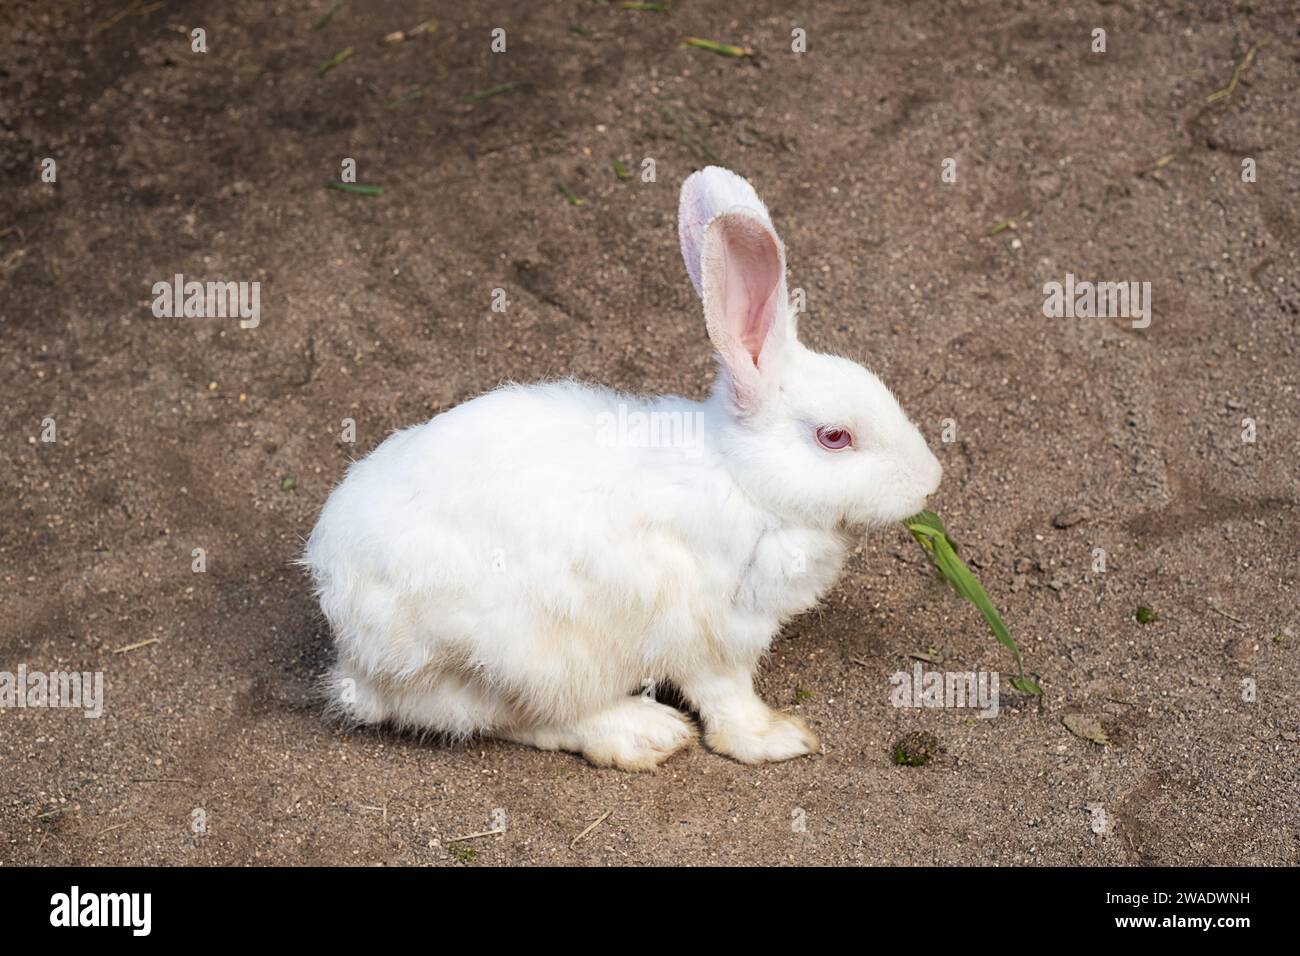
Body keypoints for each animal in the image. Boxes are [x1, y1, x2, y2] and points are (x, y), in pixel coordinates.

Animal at [303, 165, 942, 770]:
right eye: (834, 437)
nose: (930, 481)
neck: (743, 480)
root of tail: (354, 651)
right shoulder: (712, 632)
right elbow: (727, 698)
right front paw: (775, 738)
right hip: (520, 658)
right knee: (513, 718)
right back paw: (641, 732)